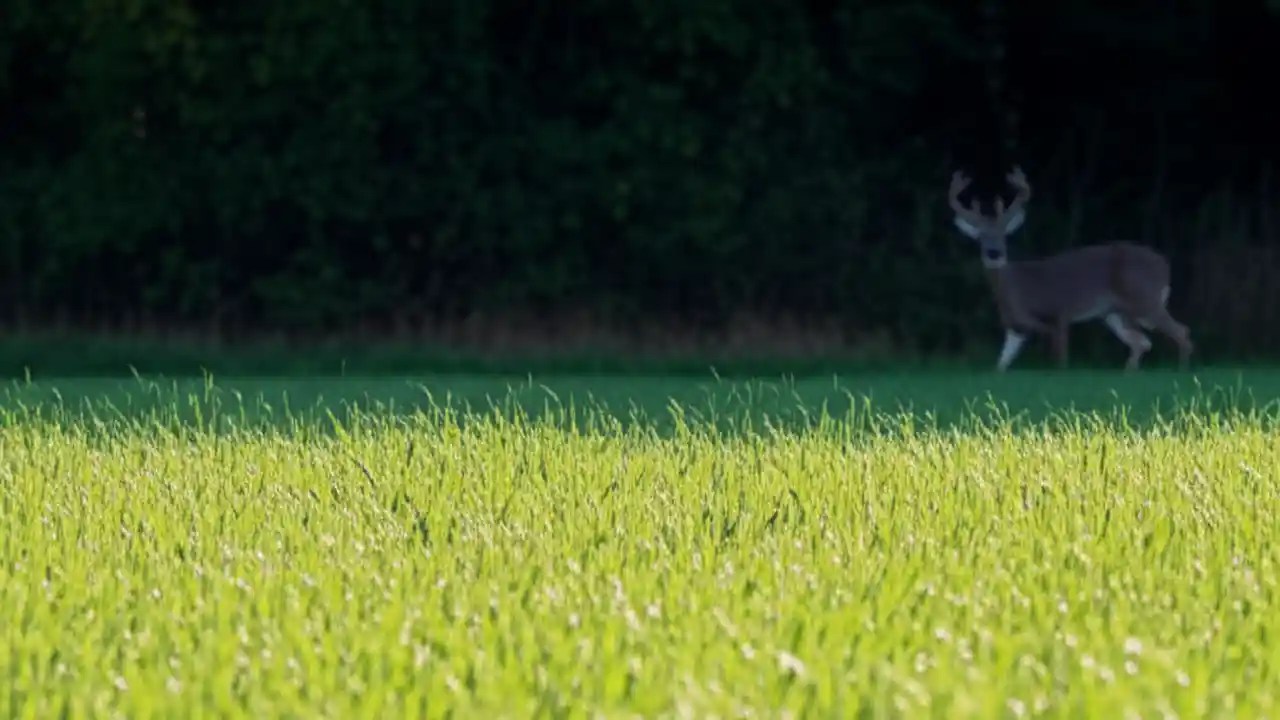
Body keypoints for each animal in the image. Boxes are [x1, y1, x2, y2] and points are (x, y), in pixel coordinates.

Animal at [947, 166, 1193, 372]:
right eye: (981, 237)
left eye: (1003, 235)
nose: (994, 253)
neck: (1013, 292)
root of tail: (1165, 265)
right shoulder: (1014, 328)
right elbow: (1000, 365)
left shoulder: (1058, 314)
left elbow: (1060, 359)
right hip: (1114, 313)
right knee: (1142, 342)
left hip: (1144, 298)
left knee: (1180, 332)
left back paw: (1181, 370)